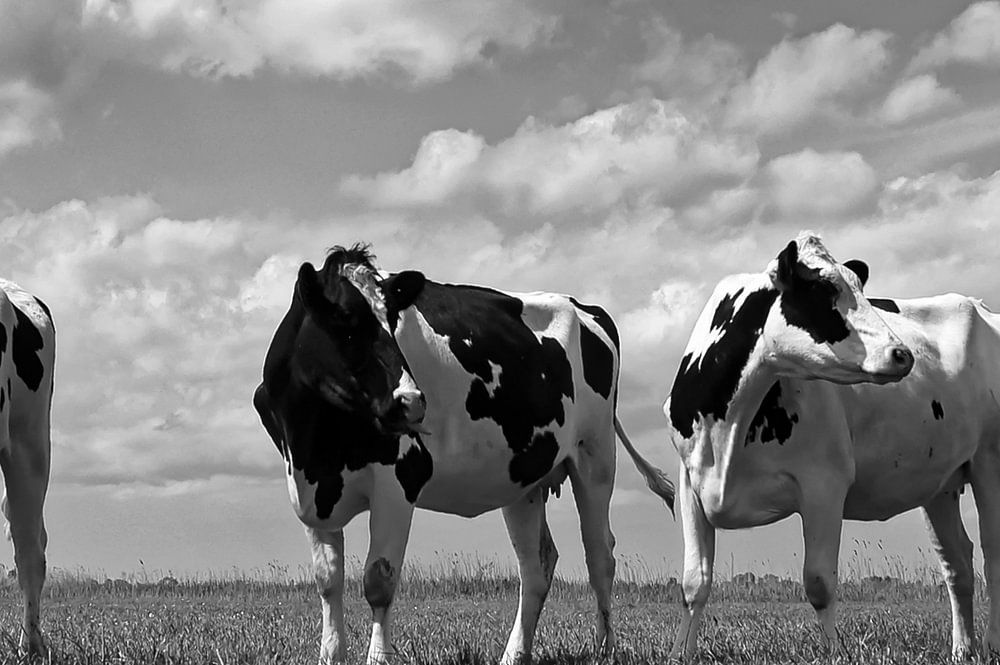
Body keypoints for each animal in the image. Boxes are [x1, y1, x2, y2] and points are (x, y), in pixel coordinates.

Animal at [253, 244, 675, 665]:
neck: (319, 444)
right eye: (345, 321)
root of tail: (584, 306)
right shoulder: (307, 487)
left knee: (599, 555)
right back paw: (514, 655)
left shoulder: (398, 480)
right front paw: (330, 654)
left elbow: (379, 581)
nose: (411, 401)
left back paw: (605, 649)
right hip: (524, 477)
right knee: (536, 565)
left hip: (596, 455)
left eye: (393, 321)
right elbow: (327, 581)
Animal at [664, 233, 922, 661]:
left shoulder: (825, 484)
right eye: (823, 290)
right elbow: (693, 583)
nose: (902, 354)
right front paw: (678, 654)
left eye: (860, 288)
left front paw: (835, 653)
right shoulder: (689, 483)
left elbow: (819, 583)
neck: (725, 429)